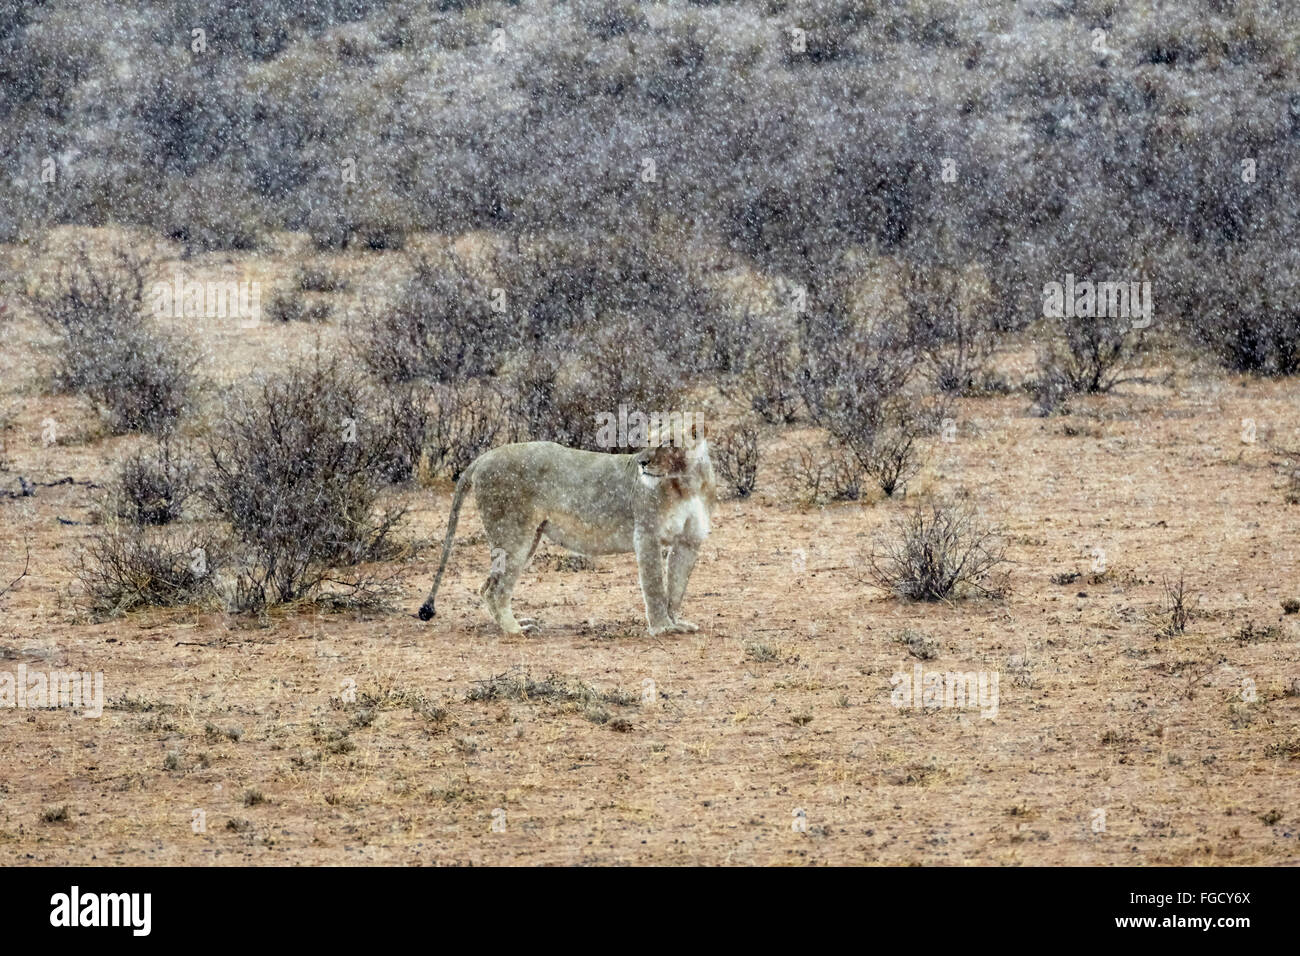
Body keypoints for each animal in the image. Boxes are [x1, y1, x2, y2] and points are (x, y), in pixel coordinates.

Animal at [417, 429, 715, 635]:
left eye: (669, 441)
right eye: (648, 439)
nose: (642, 462)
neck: (684, 484)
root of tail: (482, 458)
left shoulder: (689, 541)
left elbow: (676, 587)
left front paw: (677, 622)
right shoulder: (646, 535)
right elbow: (654, 586)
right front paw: (662, 627)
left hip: (529, 537)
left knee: (487, 586)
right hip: (514, 534)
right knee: (494, 589)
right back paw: (516, 630)